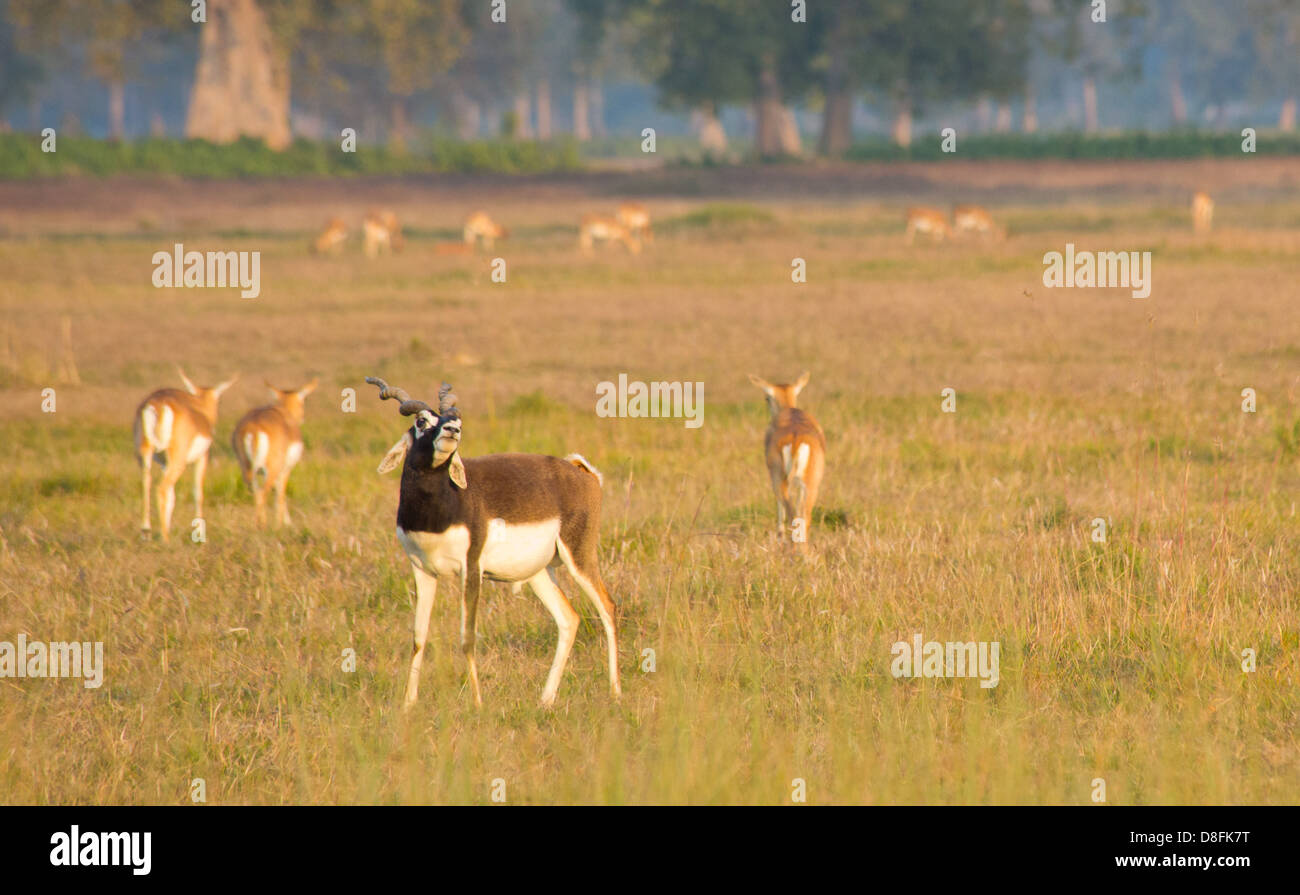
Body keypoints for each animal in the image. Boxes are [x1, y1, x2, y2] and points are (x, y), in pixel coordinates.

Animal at [133, 369, 237, 541]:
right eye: (219, 400)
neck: (200, 408)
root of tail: (157, 404)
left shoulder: (164, 464)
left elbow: (172, 497)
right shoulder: (202, 458)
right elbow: (198, 493)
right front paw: (200, 535)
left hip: (145, 455)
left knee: (146, 482)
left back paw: (146, 531)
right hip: (177, 462)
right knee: (161, 488)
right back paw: (165, 538)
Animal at [231, 378, 318, 527]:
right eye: (303, 401)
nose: (303, 417)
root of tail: (252, 427)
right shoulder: (285, 470)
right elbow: (281, 494)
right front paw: (283, 523)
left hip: (248, 471)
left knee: (256, 493)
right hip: (270, 470)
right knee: (263, 493)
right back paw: (266, 526)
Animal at [365, 376, 620, 710]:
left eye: (455, 420)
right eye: (422, 421)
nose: (452, 431)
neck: (438, 511)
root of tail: (583, 473)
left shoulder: (471, 569)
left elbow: (467, 637)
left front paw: (477, 704)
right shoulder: (422, 570)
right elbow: (418, 637)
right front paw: (408, 704)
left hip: (579, 556)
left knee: (607, 607)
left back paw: (616, 692)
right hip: (538, 572)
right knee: (569, 618)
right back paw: (545, 699)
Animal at [748, 372, 826, 551]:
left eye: (767, 398)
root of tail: (796, 439)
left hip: (780, 480)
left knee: (791, 513)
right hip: (811, 484)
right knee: (804, 516)